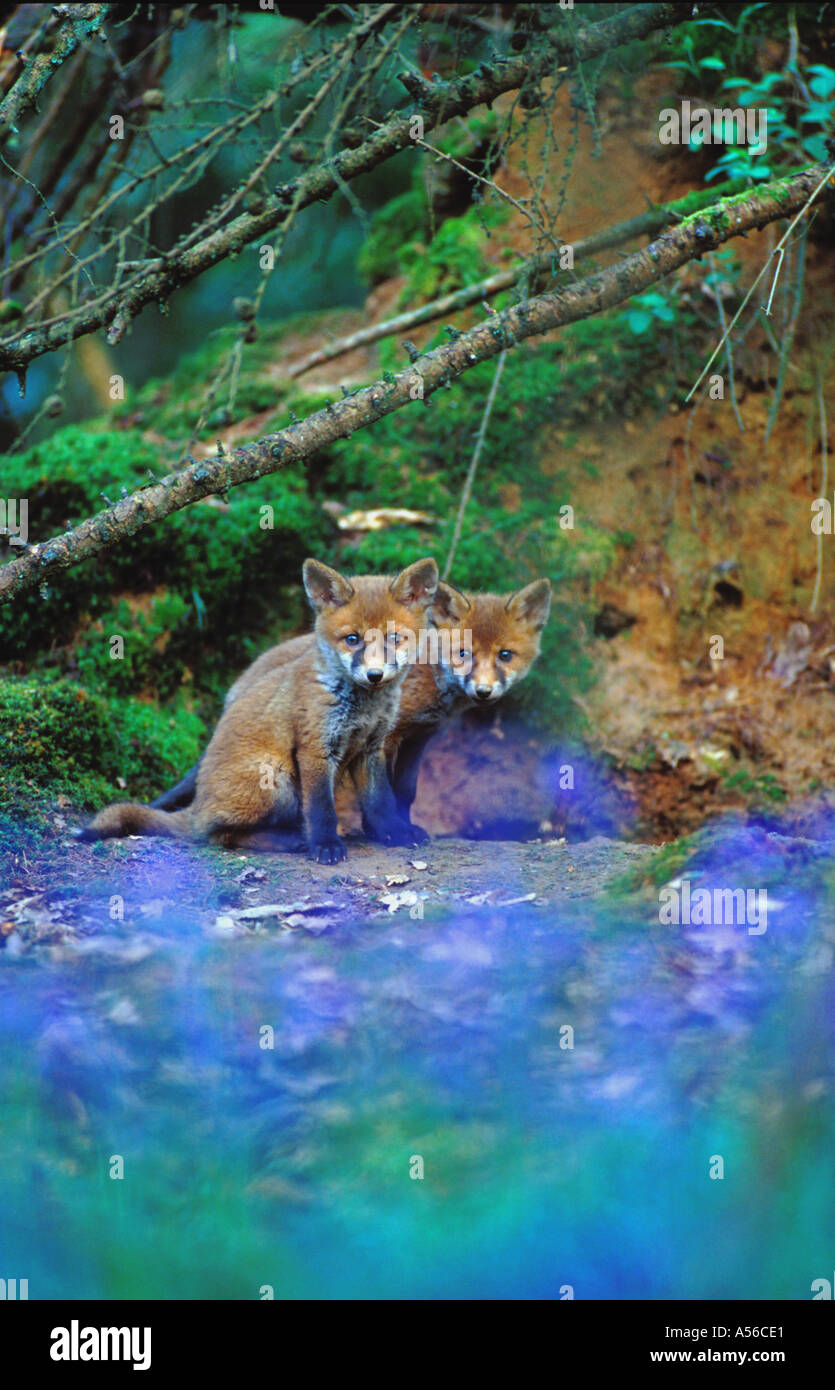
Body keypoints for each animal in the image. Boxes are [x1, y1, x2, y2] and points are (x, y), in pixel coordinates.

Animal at [80, 557, 440, 863]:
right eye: (352, 639)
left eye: (394, 638)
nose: (374, 675)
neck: (362, 707)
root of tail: (197, 806)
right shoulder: (314, 749)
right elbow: (322, 809)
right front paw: (325, 845)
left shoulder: (371, 747)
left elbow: (380, 802)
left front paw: (395, 833)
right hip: (276, 779)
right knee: (218, 836)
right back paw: (289, 840)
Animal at [151, 575, 552, 838]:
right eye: (464, 654)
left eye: (505, 655)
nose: (484, 692)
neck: (431, 678)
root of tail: (242, 683)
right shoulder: (389, 734)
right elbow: (380, 791)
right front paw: (382, 829)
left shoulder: (420, 736)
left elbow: (405, 791)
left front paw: (401, 827)